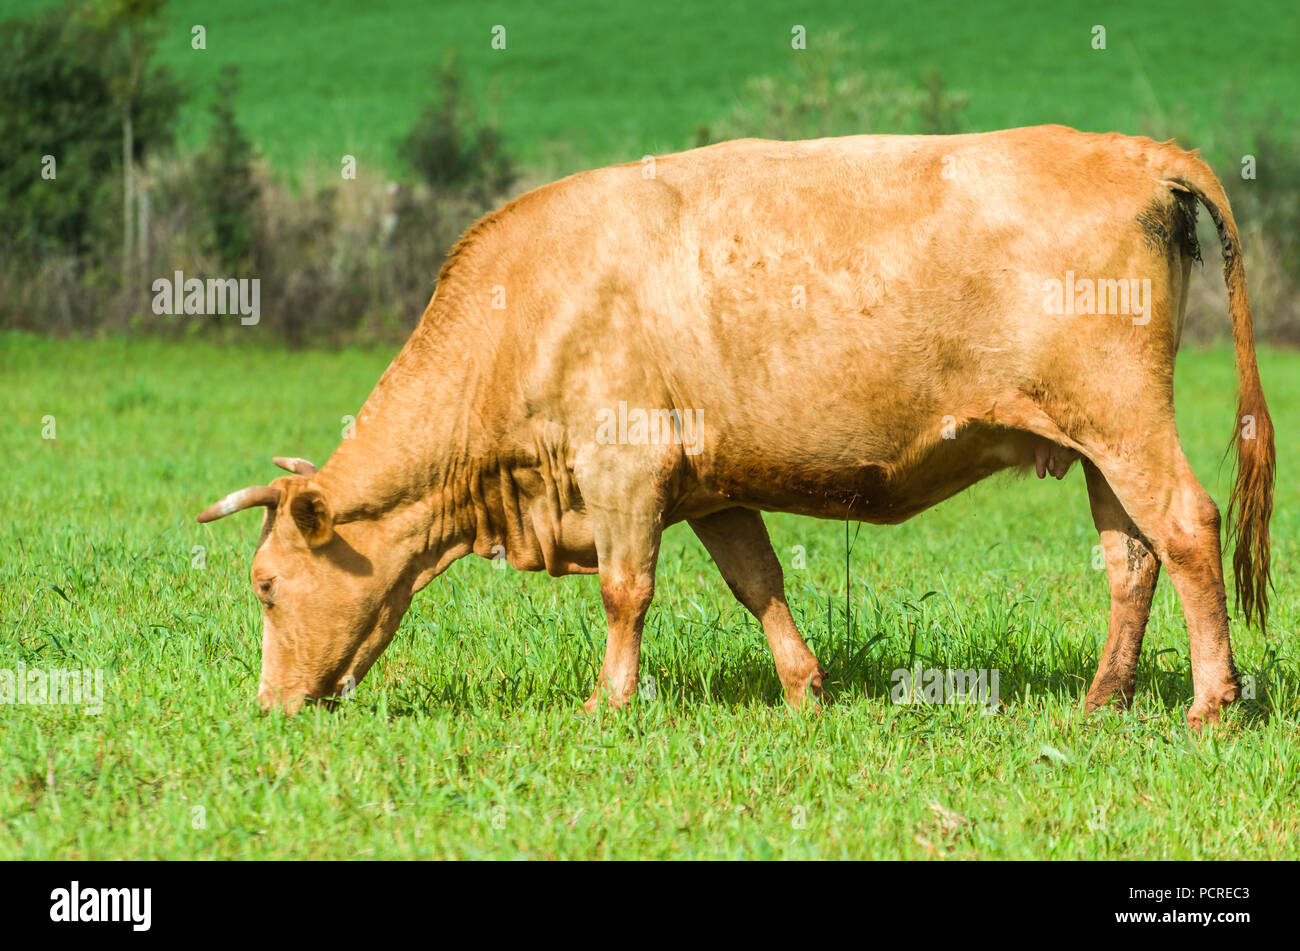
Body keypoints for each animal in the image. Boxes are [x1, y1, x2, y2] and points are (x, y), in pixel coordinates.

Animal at [198, 125, 1274, 729]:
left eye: (265, 585)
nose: (268, 707)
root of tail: (1131, 148)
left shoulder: (622, 466)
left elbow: (626, 592)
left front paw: (609, 703)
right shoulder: (711, 486)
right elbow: (759, 584)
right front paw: (804, 692)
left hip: (1122, 413)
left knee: (1186, 526)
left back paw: (1210, 705)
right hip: (1094, 440)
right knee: (1131, 559)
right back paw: (1102, 701)